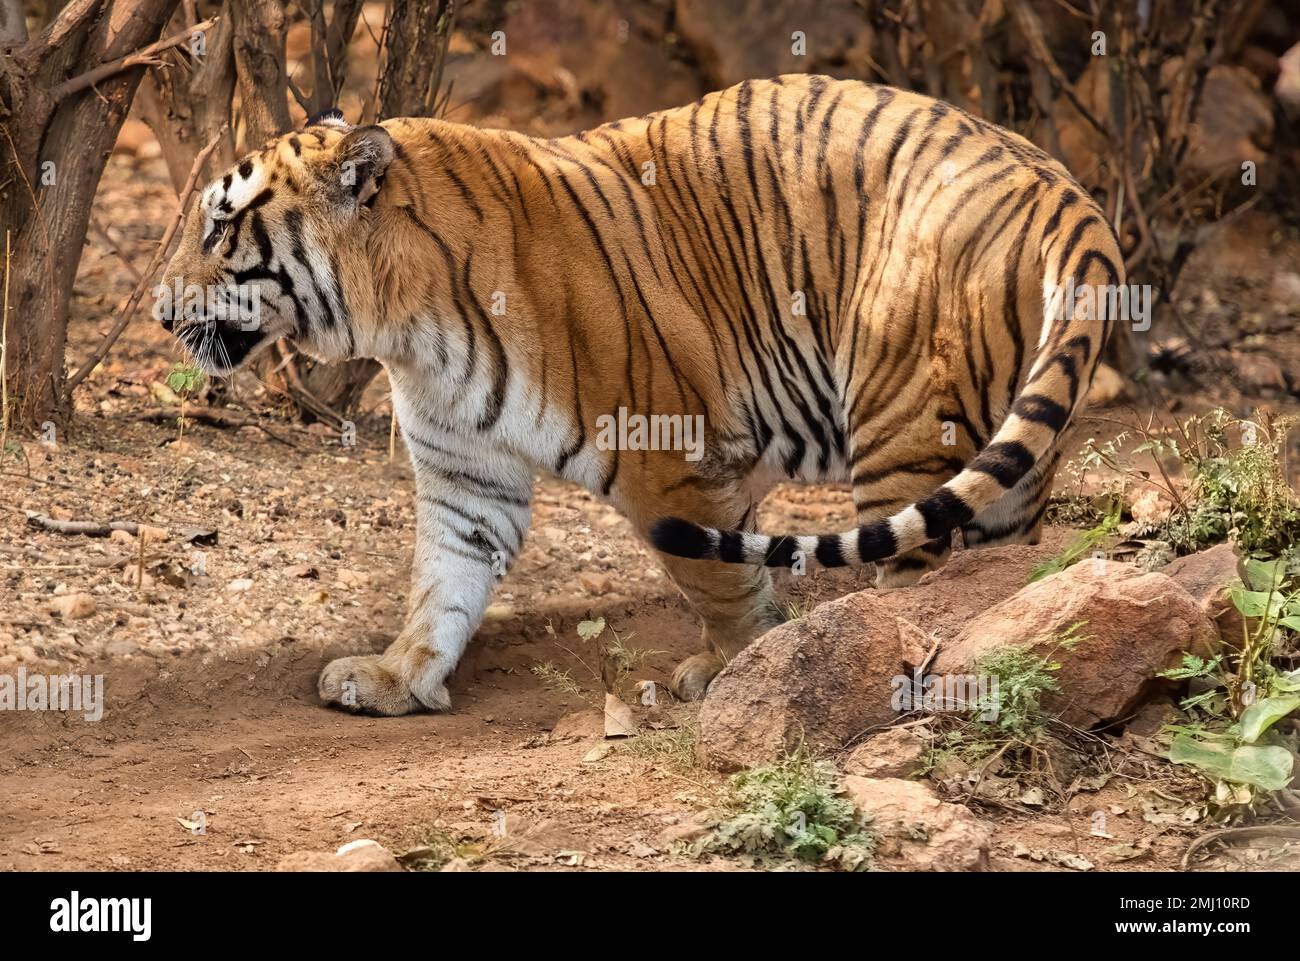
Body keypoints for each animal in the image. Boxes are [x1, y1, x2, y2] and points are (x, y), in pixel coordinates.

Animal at [159, 74, 1122, 715]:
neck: (402, 324)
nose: (162, 310)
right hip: (1006, 468)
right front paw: (400, 676)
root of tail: (1066, 192)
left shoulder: (669, 461)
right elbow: (445, 579)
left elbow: (719, 582)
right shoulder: (469, 472)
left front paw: (743, 670)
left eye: (220, 227)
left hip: (901, 422)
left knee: (913, 582)